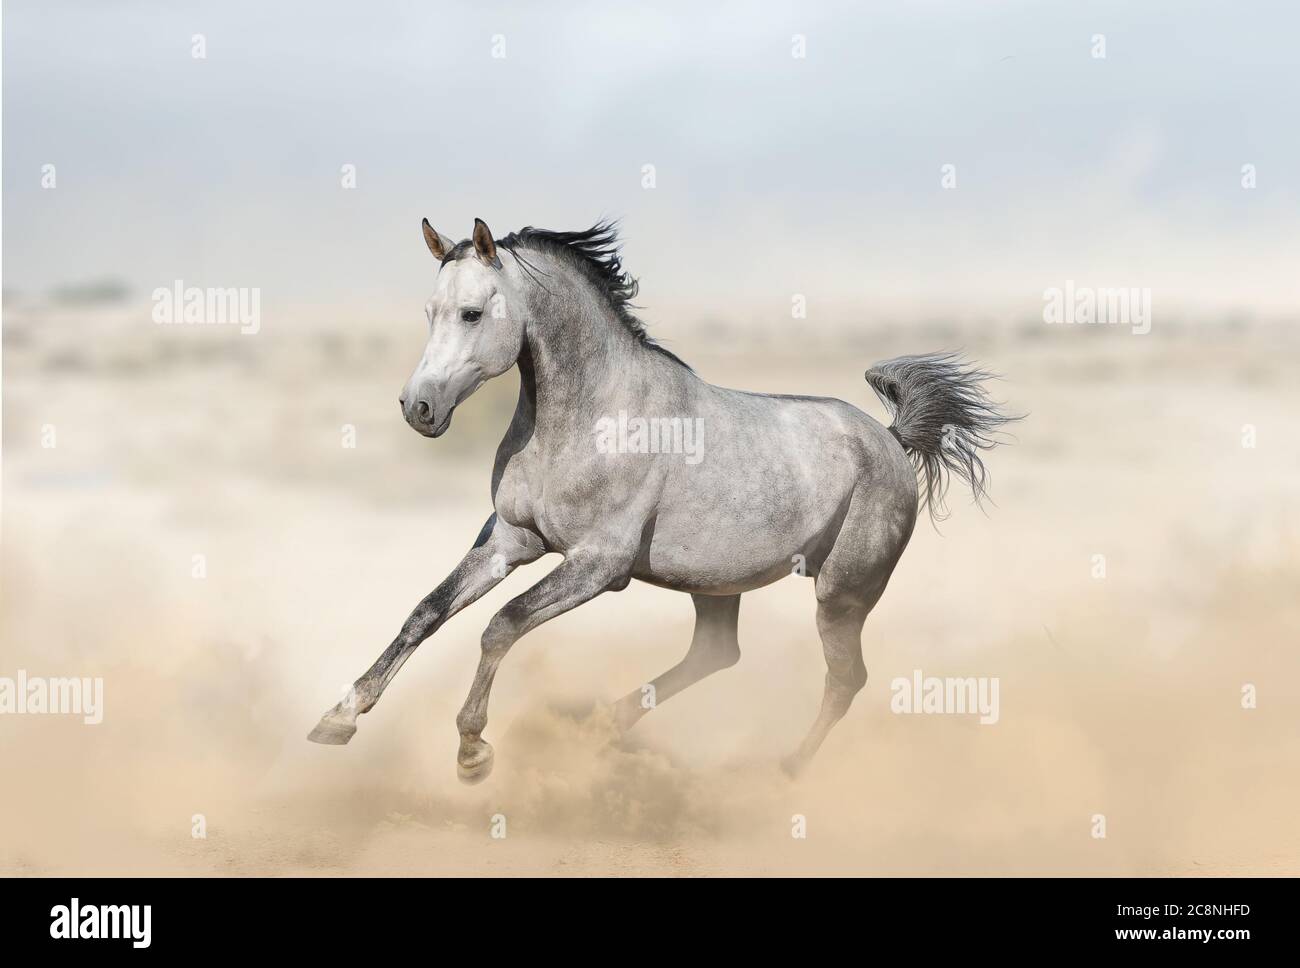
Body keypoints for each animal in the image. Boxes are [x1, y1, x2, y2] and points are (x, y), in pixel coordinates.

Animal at [308, 217, 1015, 782]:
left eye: (473, 313)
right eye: (430, 311)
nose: (418, 408)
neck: (590, 416)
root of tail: (890, 439)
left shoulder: (599, 564)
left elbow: (501, 625)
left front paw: (472, 751)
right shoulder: (511, 539)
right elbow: (426, 613)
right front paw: (337, 719)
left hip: (841, 594)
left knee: (845, 680)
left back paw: (785, 769)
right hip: (717, 584)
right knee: (716, 655)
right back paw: (600, 730)